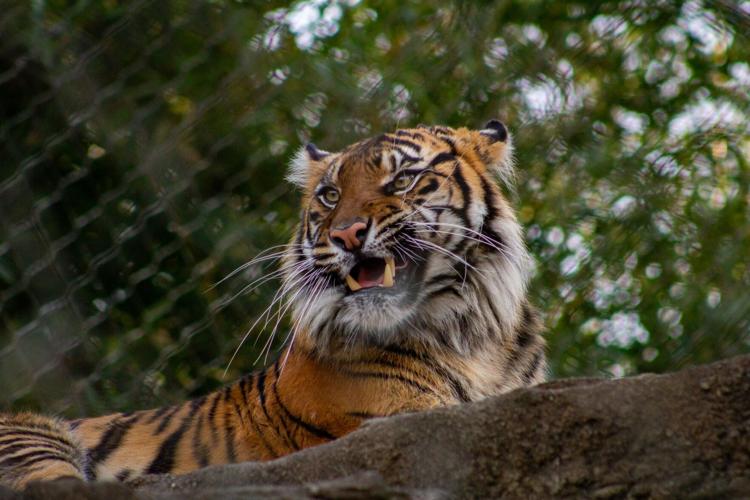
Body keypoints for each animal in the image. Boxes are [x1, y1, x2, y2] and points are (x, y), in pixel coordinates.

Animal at [0, 120, 546, 490]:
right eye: (330, 195)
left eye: (402, 180)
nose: (347, 234)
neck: (470, 336)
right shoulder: (396, 422)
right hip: (33, 435)